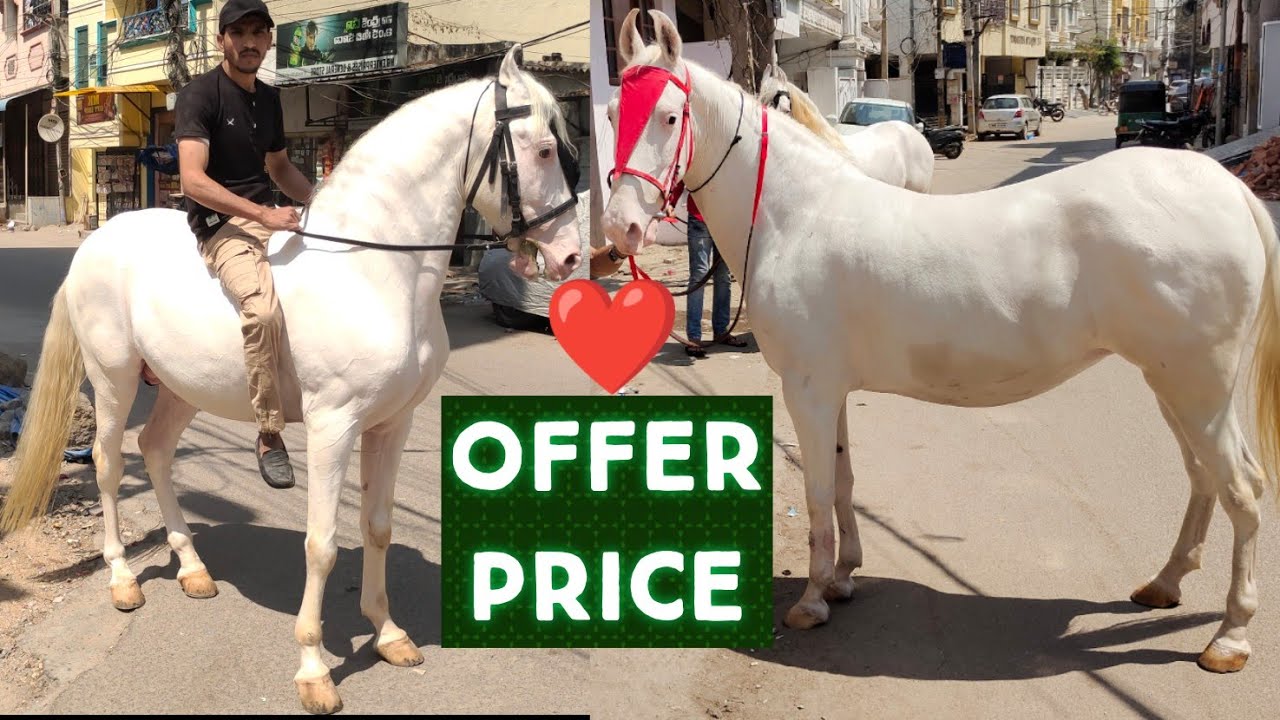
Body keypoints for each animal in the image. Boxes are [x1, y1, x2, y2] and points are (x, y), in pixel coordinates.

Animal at [0, 45, 581, 714]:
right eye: (544, 150)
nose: (571, 256)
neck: (374, 268)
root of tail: (96, 241)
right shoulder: (334, 425)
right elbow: (321, 545)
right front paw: (313, 669)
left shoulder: (392, 422)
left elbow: (377, 527)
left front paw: (388, 634)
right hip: (115, 380)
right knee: (109, 464)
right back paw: (122, 578)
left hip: (180, 387)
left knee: (156, 450)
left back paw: (192, 568)